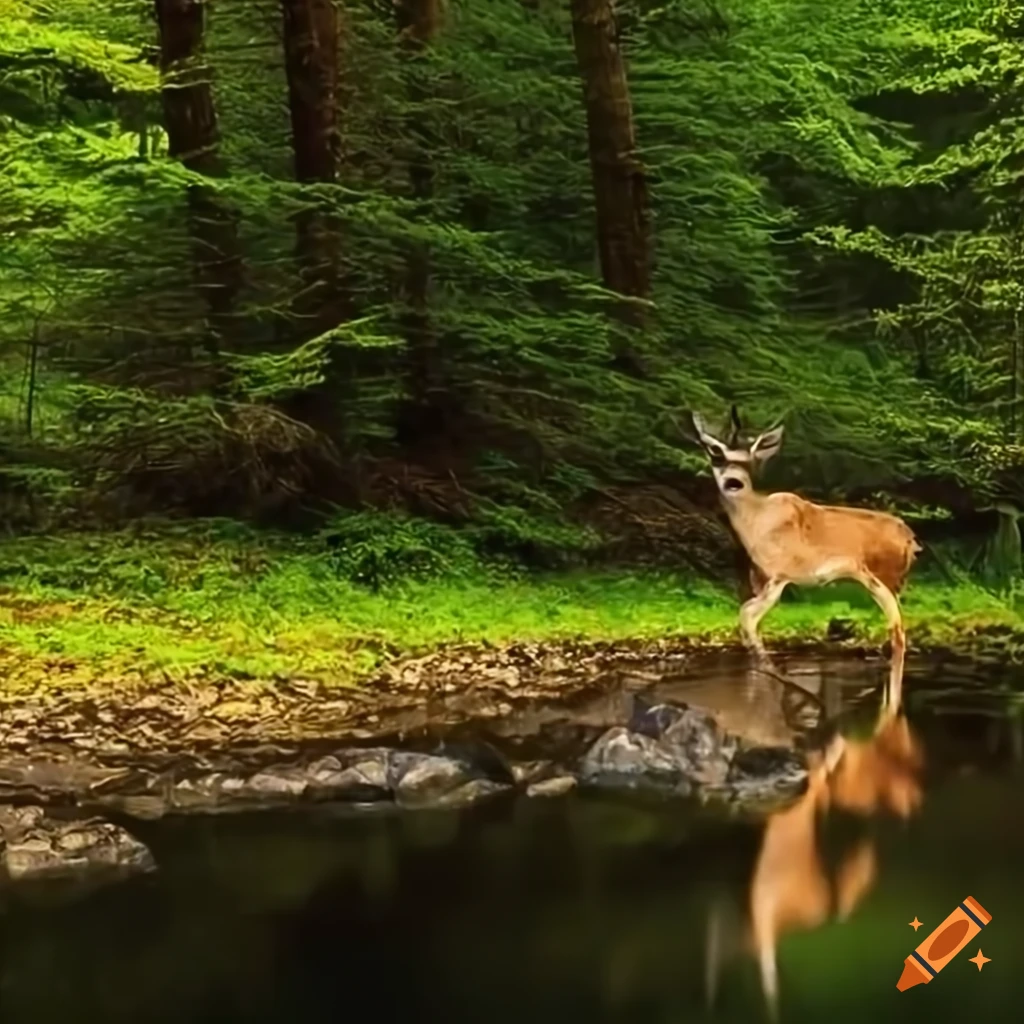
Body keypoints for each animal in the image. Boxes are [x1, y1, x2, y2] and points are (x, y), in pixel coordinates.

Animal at [691, 406, 922, 709]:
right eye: (715, 452)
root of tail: (910, 538)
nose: (733, 482)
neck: (756, 519)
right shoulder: (760, 578)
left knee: (898, 632)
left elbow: (747, 617)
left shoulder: (779, 576)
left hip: (882, 579)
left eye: (749, 461)